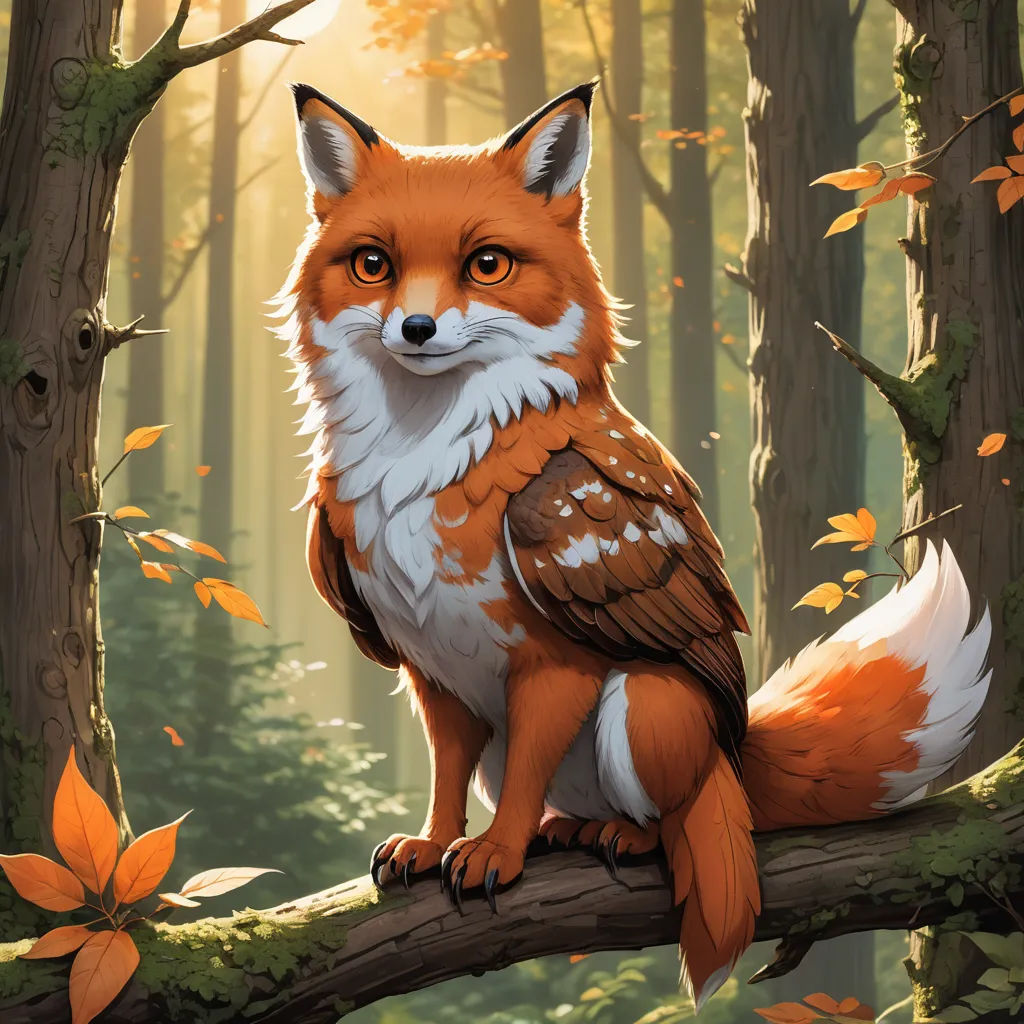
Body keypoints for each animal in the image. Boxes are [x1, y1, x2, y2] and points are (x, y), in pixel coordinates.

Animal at [278, 79, 992, 1008]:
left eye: (487, 264)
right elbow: (445, 775)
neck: (425, 464)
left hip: (653, 701)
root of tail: (738, 749)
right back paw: (573, 827)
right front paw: (433, 843)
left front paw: (498, 851)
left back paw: (620, 836)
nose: (418, 327)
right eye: (374, 264)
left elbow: (522, 779)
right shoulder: (429, 666)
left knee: (667, 812)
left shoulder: (554, 664)